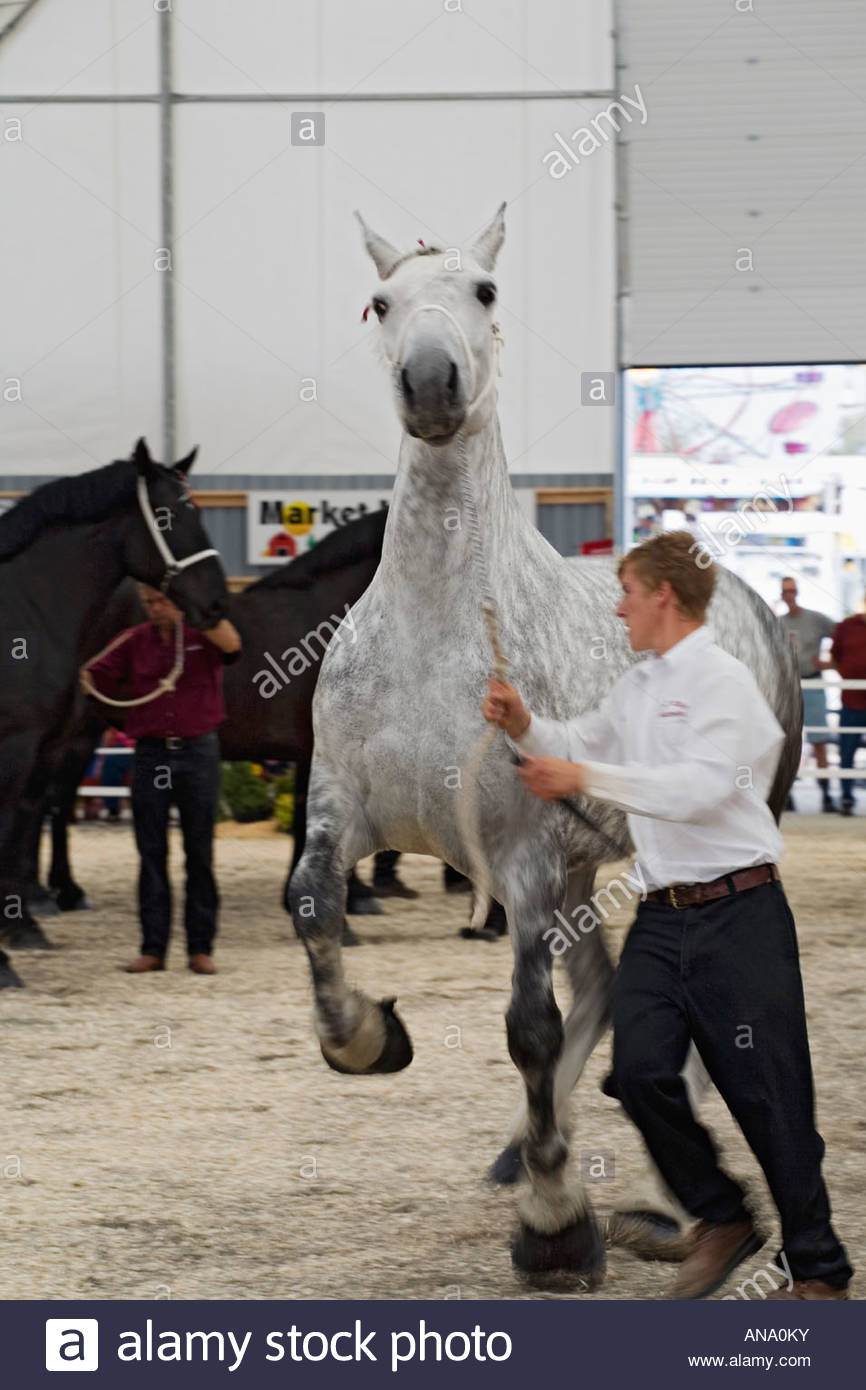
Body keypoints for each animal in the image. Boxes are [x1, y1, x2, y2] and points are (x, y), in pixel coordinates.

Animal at [0, 439, 230, 987]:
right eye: (169, 516)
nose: (217, 603)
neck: (23, 610)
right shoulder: (17, 747)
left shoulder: (49, 744)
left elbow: (30, 818)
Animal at [286, 205, 802, 1284]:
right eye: (380, 302)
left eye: (483, 291)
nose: (430, 383)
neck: (439, 631)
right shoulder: (344, 808)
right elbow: (313, 904)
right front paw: (365, 1037)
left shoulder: (521, 855)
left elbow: (528, 1025)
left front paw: (557, 1222)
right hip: (577, 874)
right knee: (601, 990)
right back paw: (521, 1153)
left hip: (666, 849)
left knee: (671, 1029)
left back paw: (636, 1191)